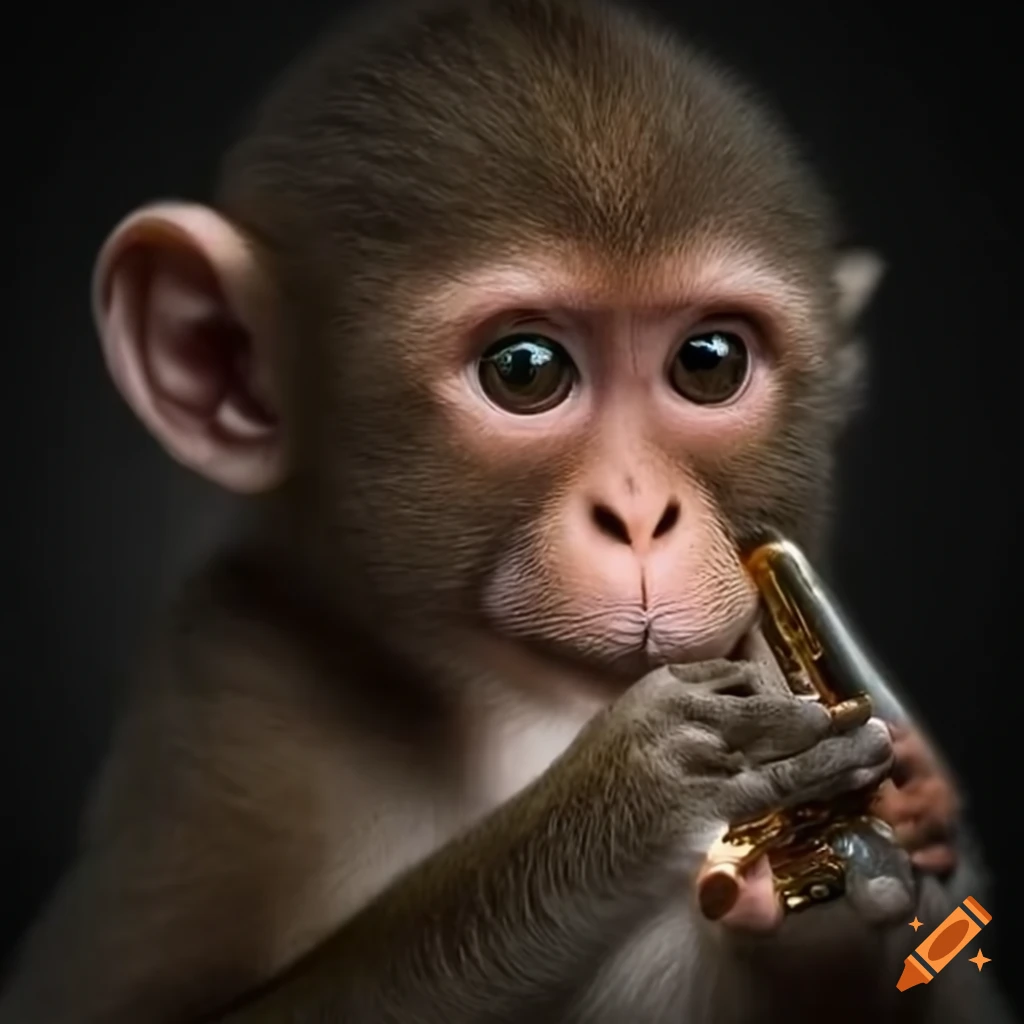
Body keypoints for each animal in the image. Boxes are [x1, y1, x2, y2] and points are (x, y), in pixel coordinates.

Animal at [0, 0, 1015, 1022]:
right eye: (524, 371)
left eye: (710, 361)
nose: (641, 515)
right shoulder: (225, 702)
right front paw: (631, 796)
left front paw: (891, 838)